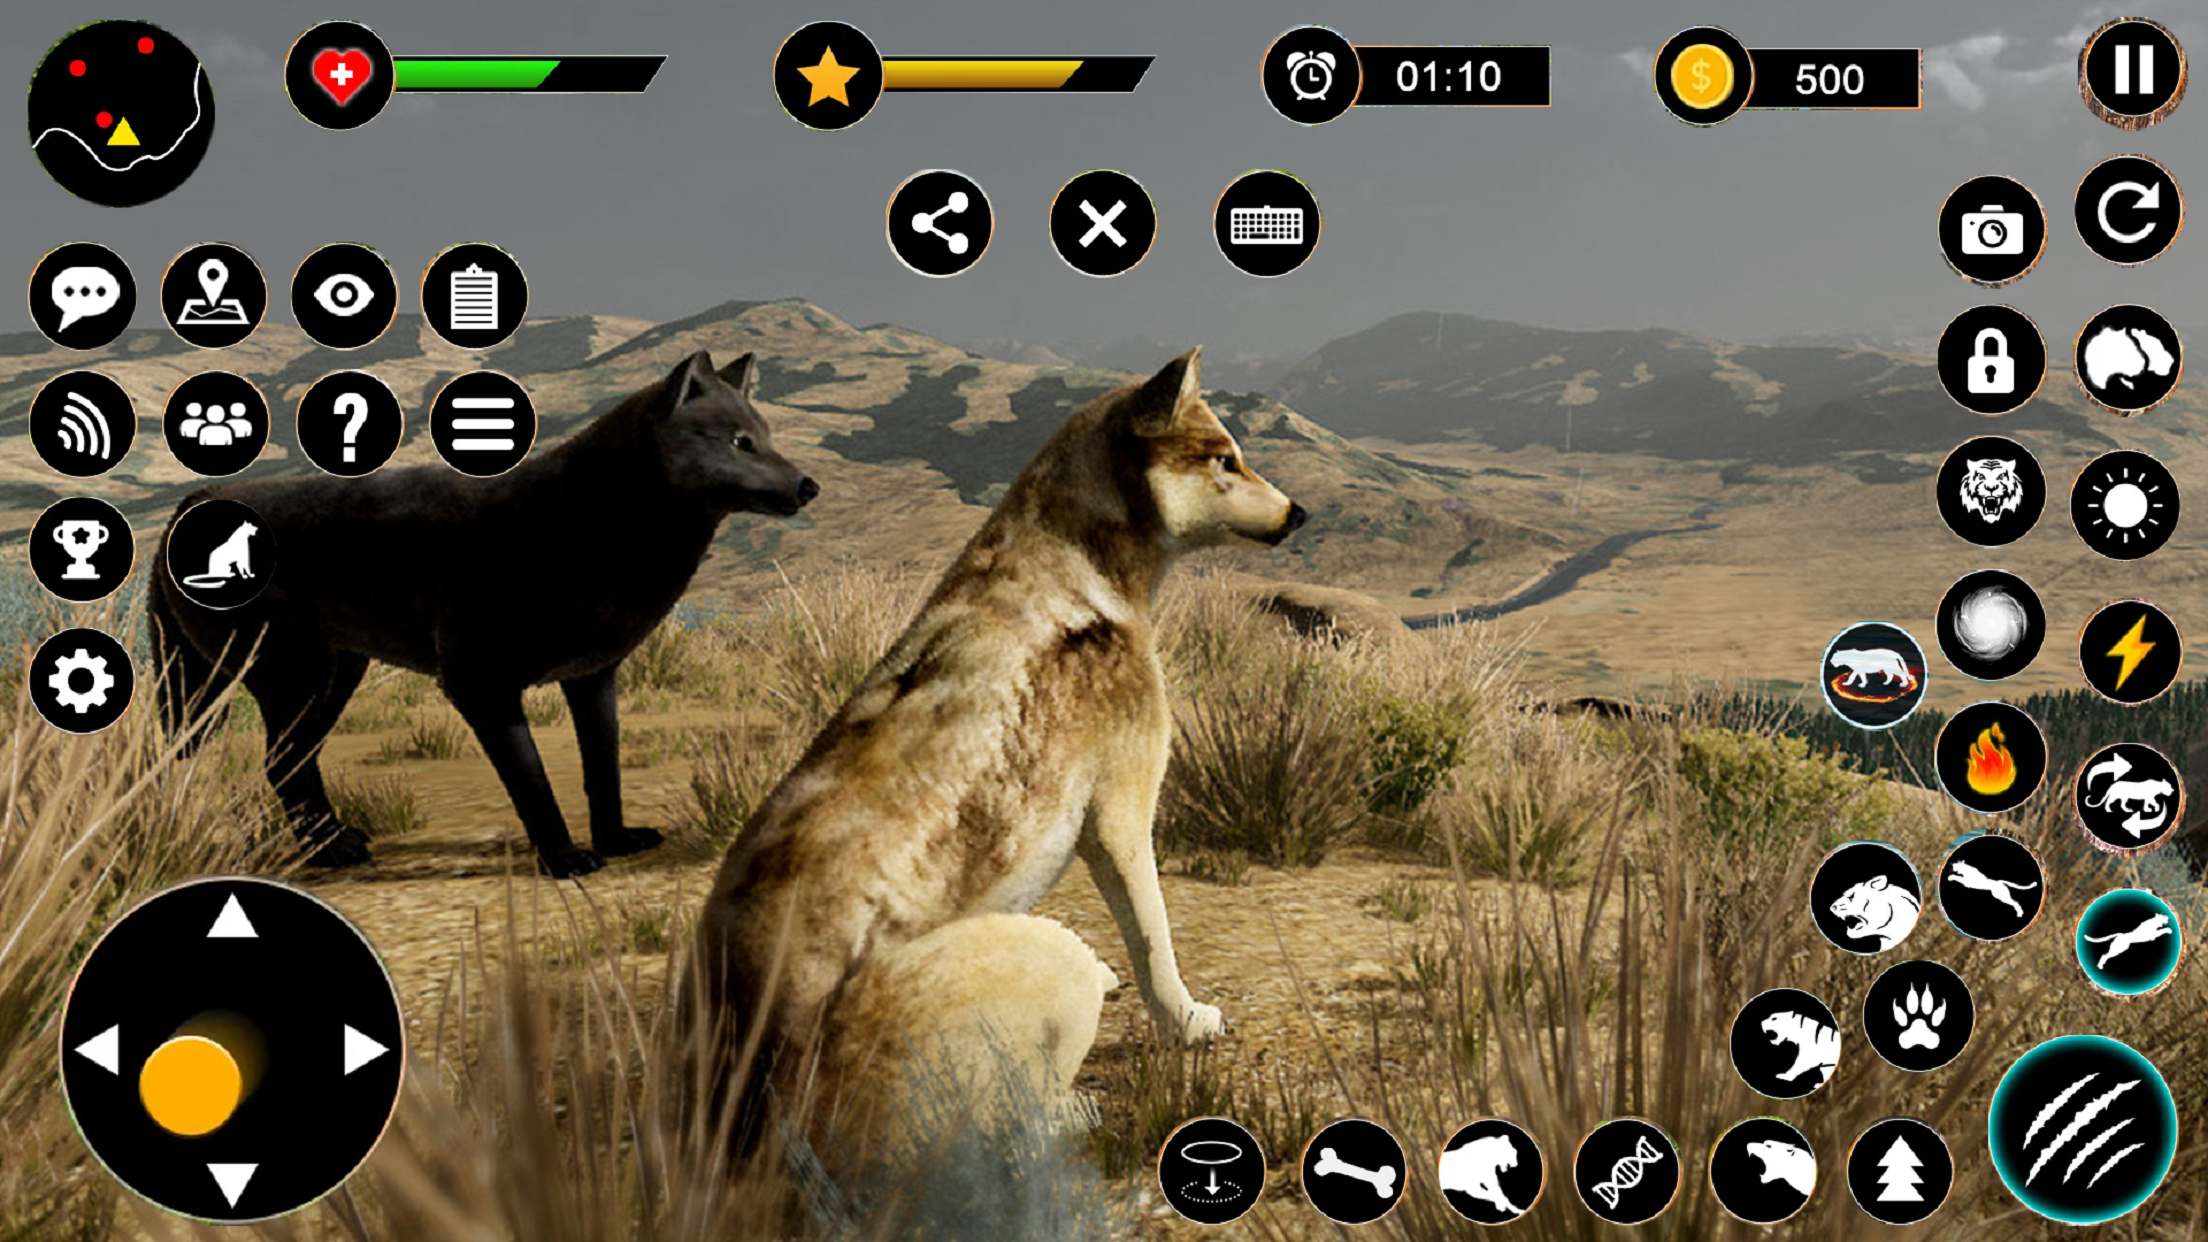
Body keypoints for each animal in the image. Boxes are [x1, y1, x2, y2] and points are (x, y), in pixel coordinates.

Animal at [151, 351, 818, 877]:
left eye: (767, 435)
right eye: (739, 442)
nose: (808, 486)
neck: (589, 526)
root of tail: (193, 497)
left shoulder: (591, 679)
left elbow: (602, 771)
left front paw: (615, 841)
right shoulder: (481, 686)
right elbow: (534, 783)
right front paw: (564, 860)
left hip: (333, 678)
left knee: (291, 761)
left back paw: (338, 841)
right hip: (293, 679)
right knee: (282, 762)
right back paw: (328, 854)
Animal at [691, 348, 1305, 1157]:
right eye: (1225, 459)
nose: (1299, 512)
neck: (1076, 563)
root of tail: (751, 1098)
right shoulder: (1119, 817)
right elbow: (1153, 937)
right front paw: (1189, 1021)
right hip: (1050, 957)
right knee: (1015, 1124)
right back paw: (1080, 1097)